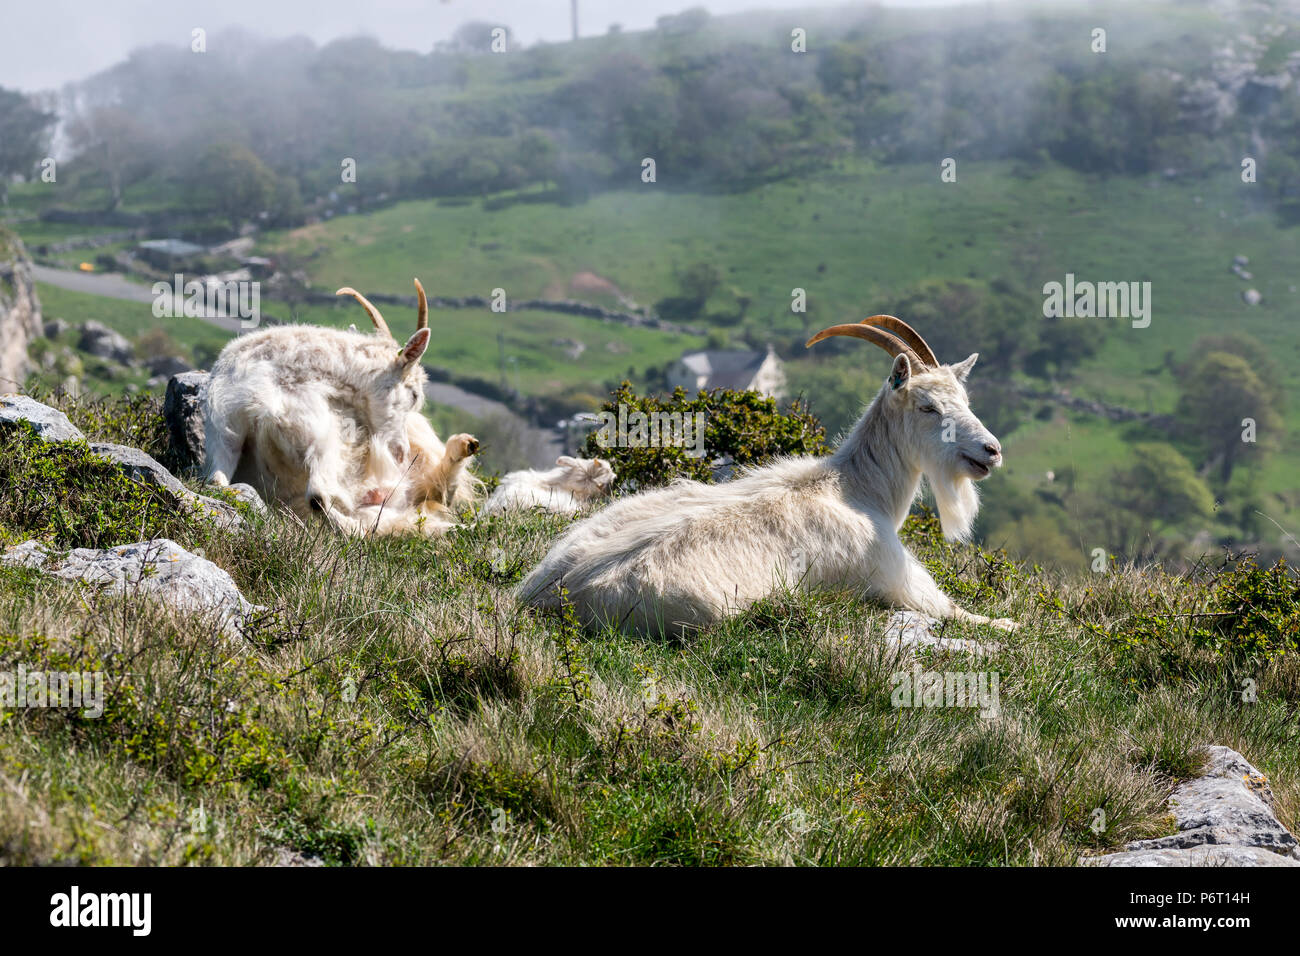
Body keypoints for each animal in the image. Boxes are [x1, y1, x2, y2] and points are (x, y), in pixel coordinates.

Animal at [517, 315, 1017, 635]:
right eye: (927, 406)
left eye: (965, 401)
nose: (991, 451)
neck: (856, 489)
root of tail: (551, 595)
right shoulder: (895, 581)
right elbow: (961, 613)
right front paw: (1010, 623)